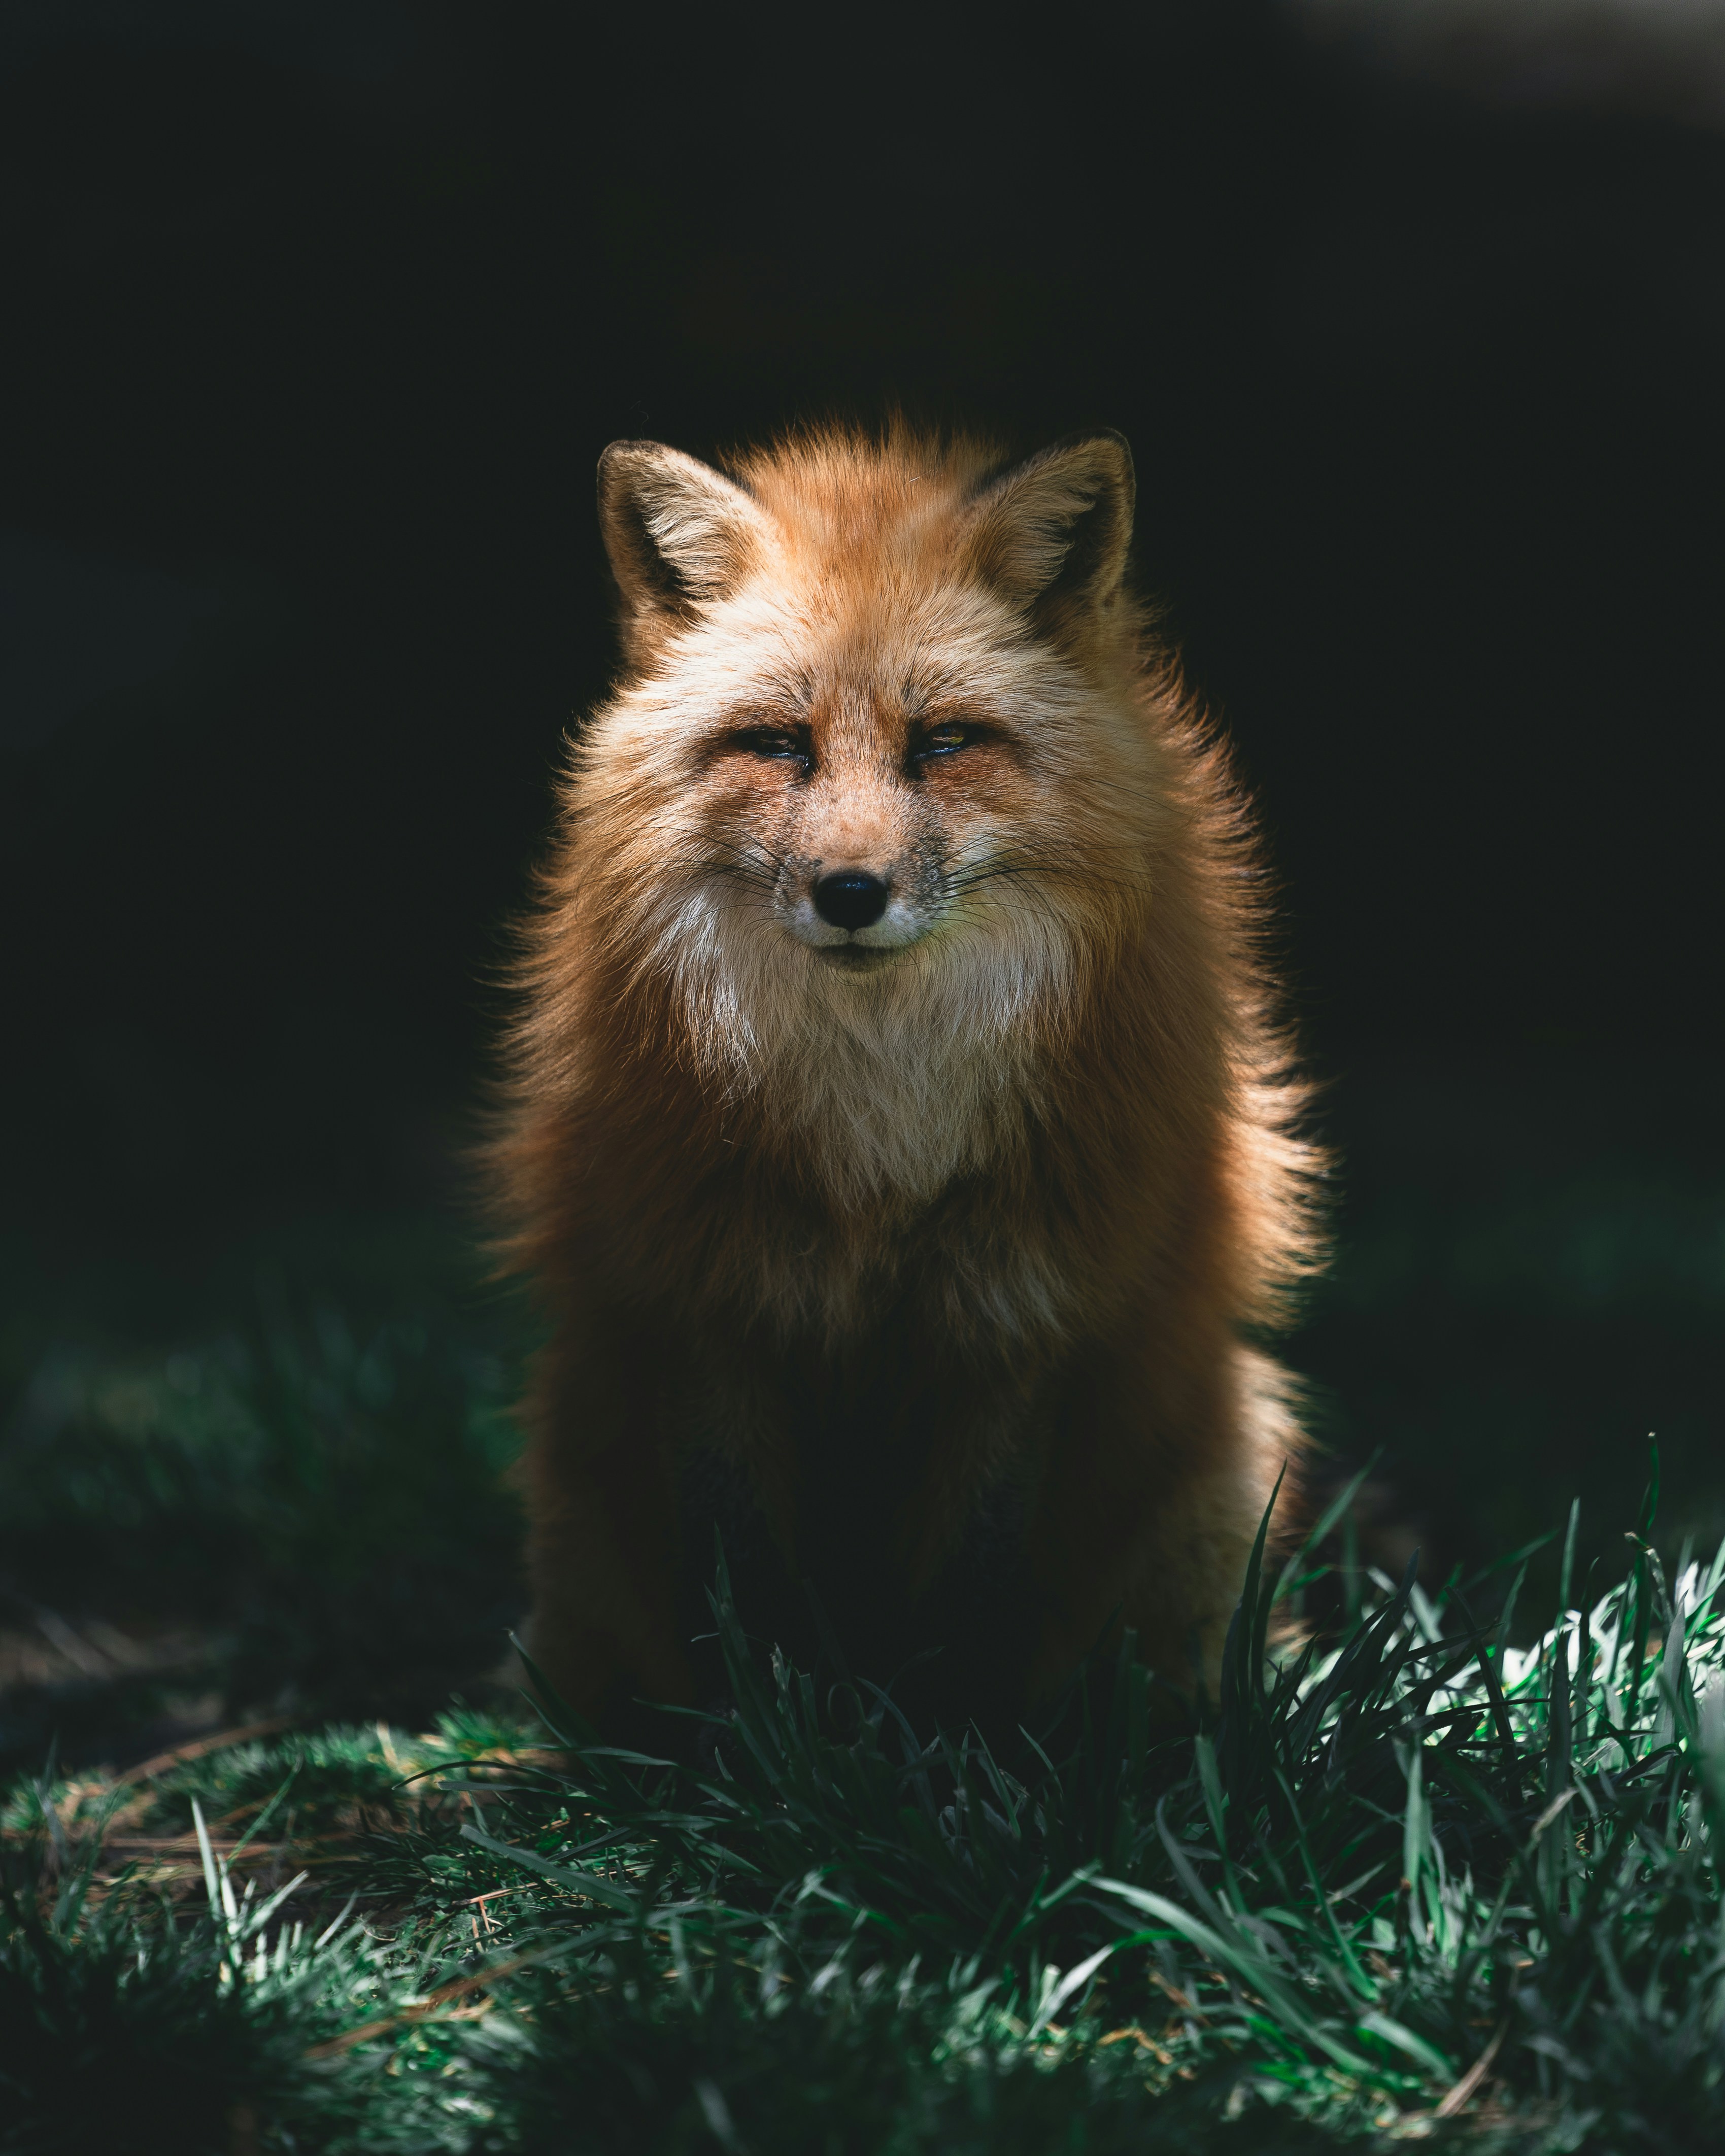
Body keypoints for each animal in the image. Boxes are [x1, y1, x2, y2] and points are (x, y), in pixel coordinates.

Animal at [490, 423, 1321, 1739]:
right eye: (779, 744)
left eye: (942, 743)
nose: (849, 894)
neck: (881, 1128)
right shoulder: (707, 1297)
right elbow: (742, 1587)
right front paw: (755, 1748)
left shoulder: (1021, 1307)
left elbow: (973, 1592)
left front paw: (957, 1753)